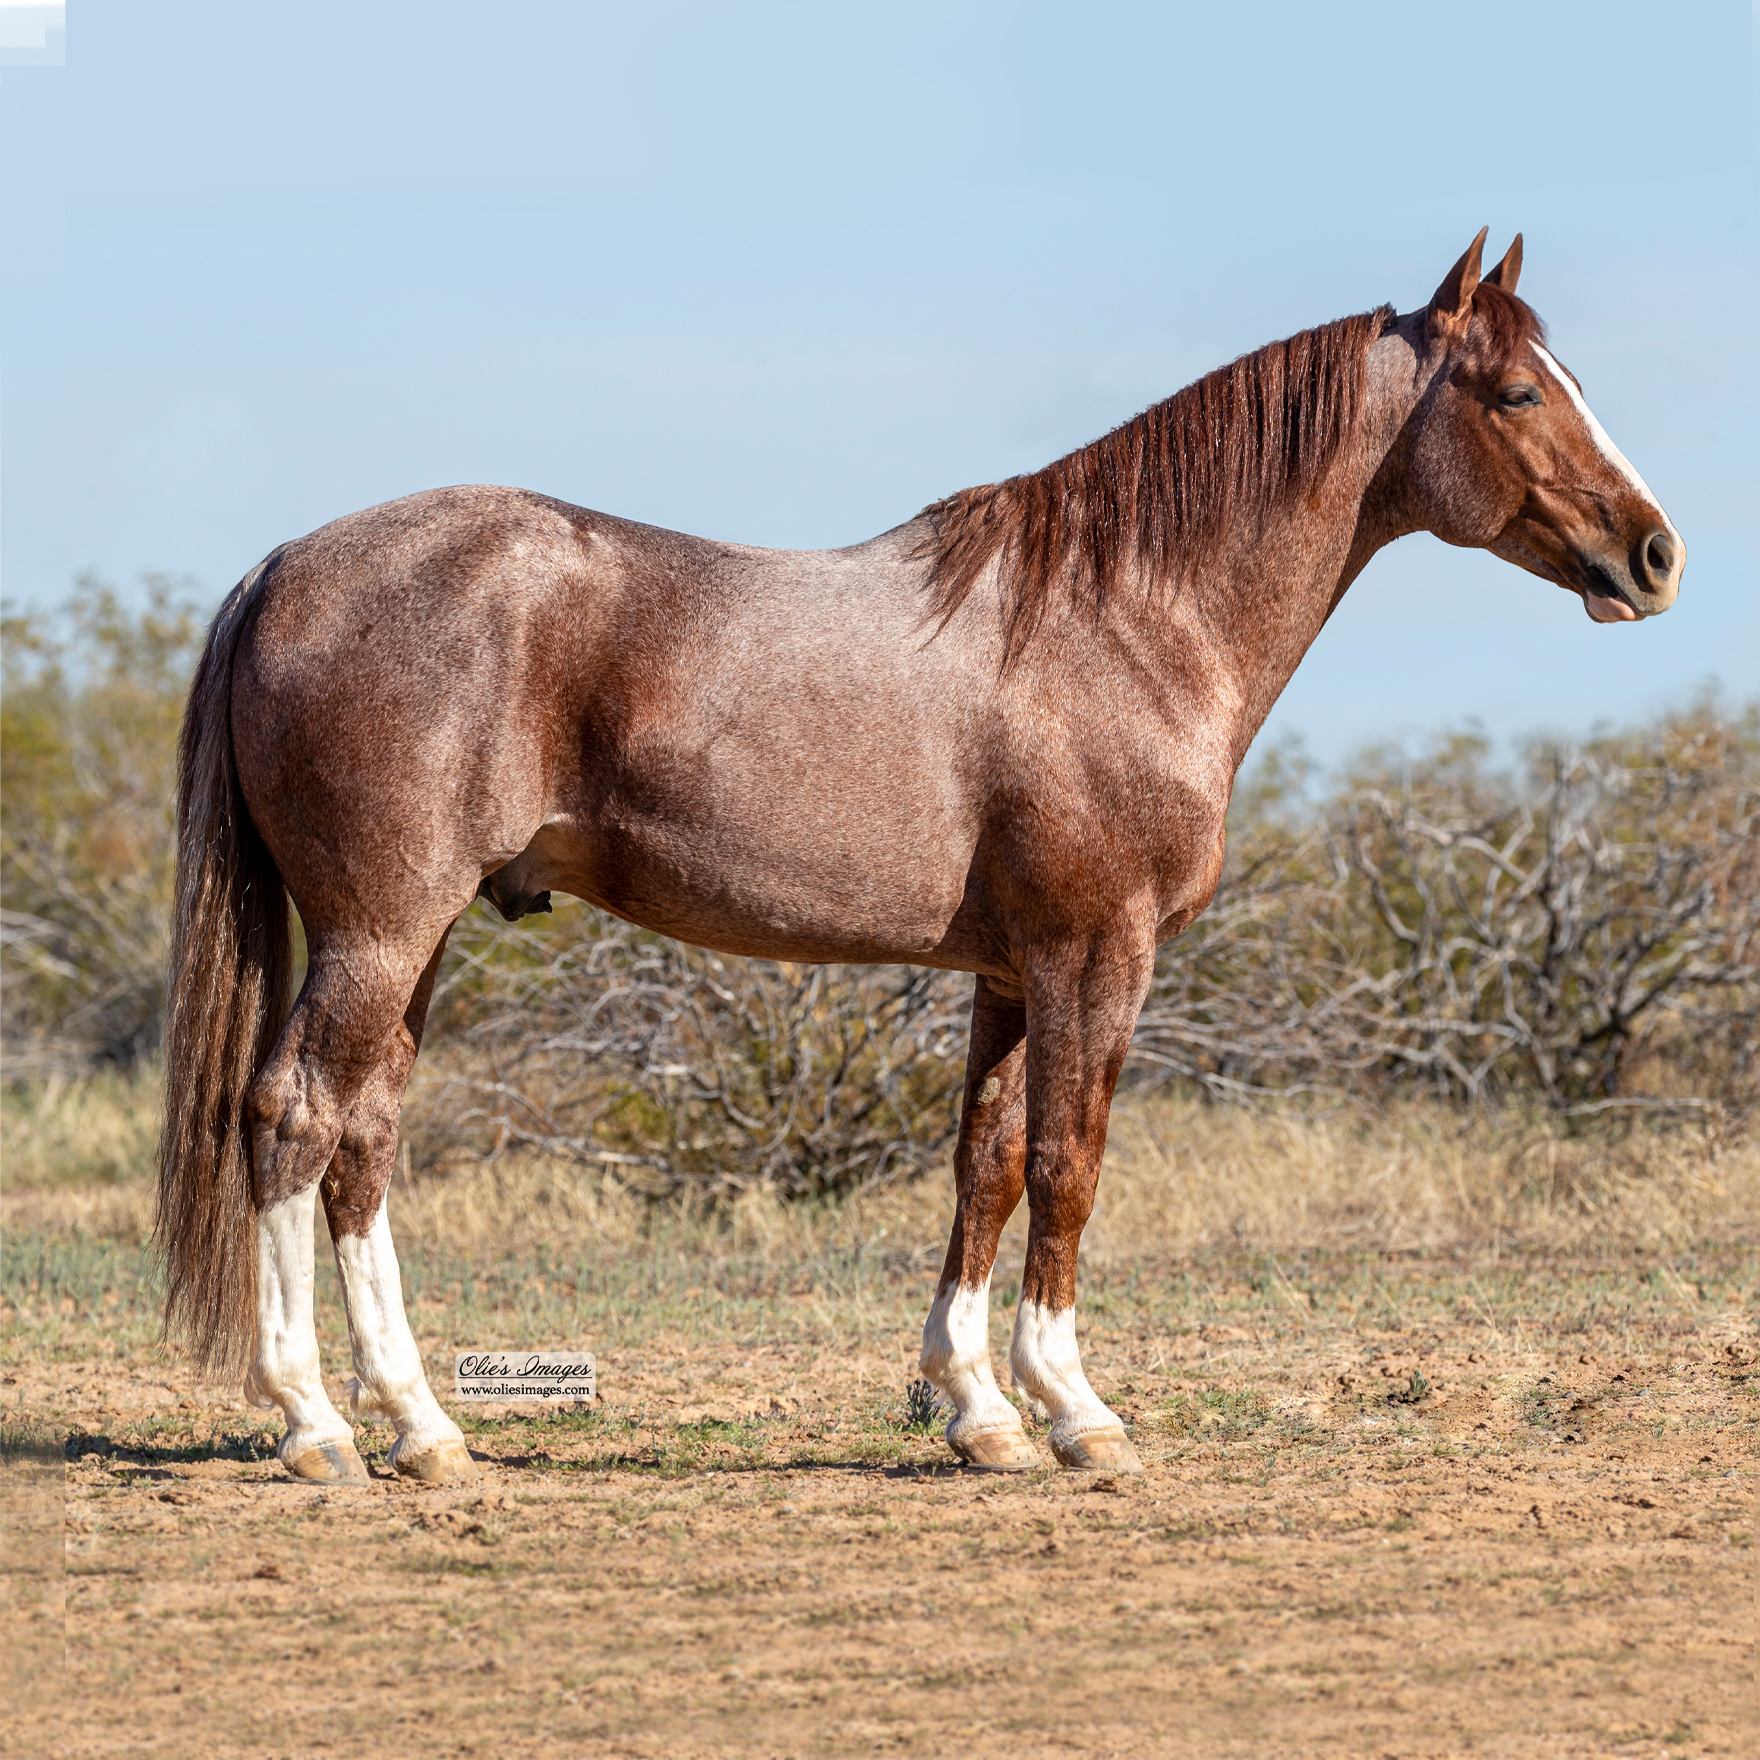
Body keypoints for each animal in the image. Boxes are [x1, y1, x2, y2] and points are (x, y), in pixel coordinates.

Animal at [157, 230, 1683, 1484]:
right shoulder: (1095, 960)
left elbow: (985, 1166)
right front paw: (1078, 1412)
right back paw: (316, 1427)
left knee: (363, 1139)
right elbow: (1070, 1163)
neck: (1123, 621)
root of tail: (286, 564)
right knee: (293, 1117)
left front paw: (978, 1411)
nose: (1655, 554)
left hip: (414, 941)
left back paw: (424, 1427)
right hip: (380, 930)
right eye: (1518, 394)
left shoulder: (1009, 973)